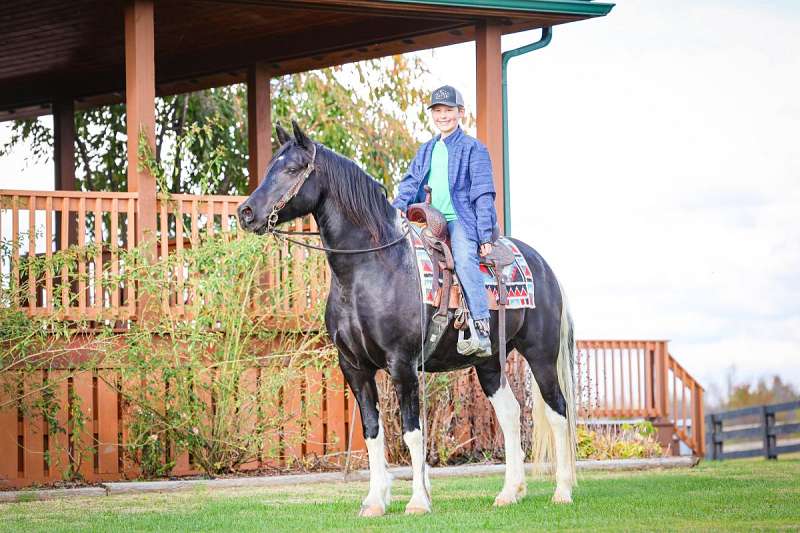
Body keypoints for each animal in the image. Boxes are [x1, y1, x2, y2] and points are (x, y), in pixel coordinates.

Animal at [237, 121, 577, 517]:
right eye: (270, 167)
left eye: (291, 169)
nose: (246, 212)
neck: (371, 268)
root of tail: (543, 266)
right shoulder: (354, 367)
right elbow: (372, 432)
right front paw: (374, 501)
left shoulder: (403, 365)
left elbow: (412, 433)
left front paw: (417, 501)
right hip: (490, 362)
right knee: (510, 413)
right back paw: (510, 492)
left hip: (541, 355)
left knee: (558, 411)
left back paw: (563, 491)